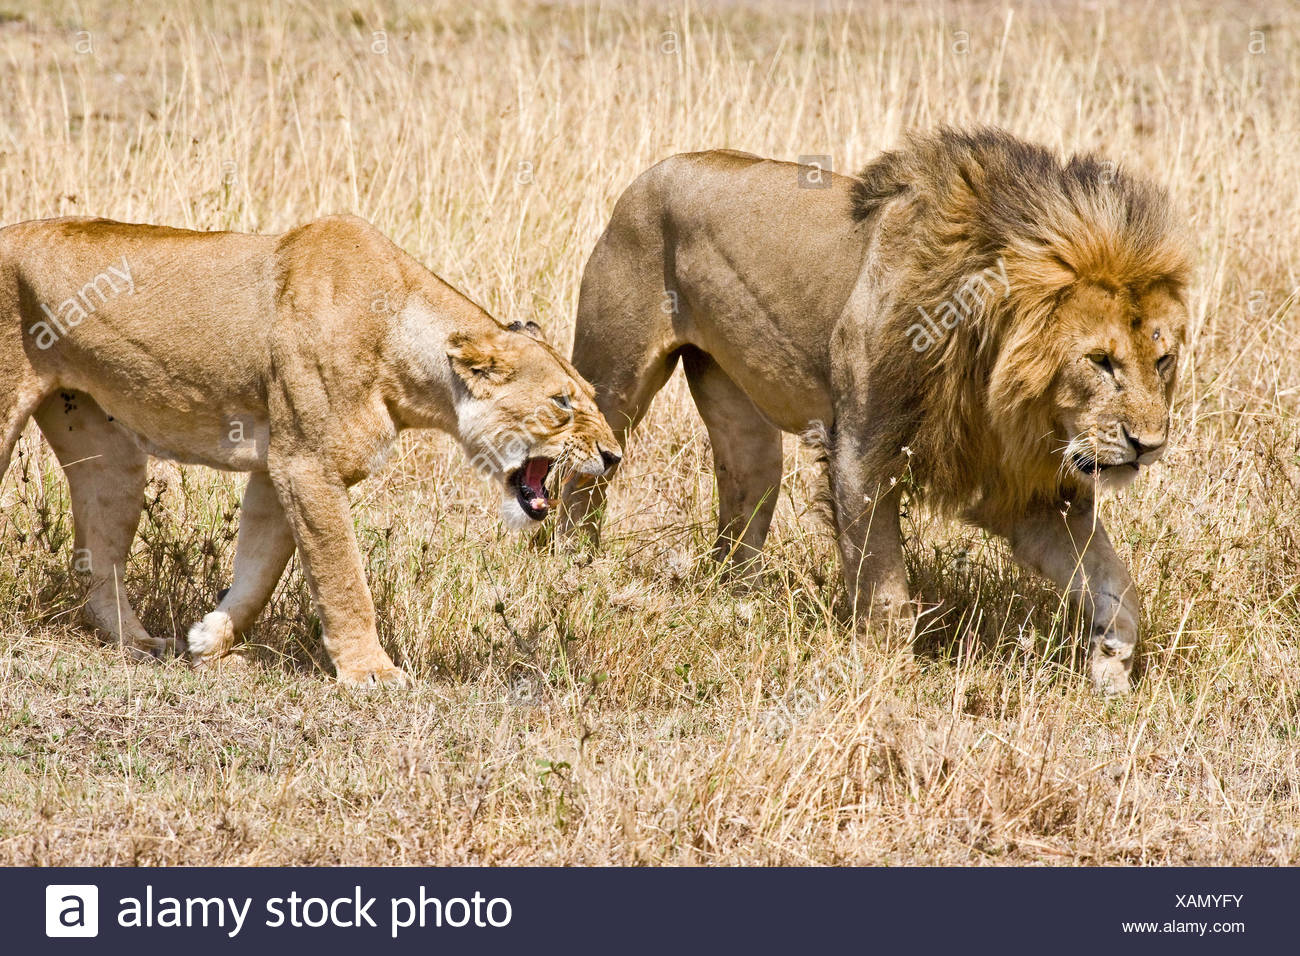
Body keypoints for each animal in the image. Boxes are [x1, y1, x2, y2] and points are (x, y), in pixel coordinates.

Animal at [0, 214, 621, 687]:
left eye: (589, 397)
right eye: (562, 402)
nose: (614, 457)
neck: (403, 350)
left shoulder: (279, 467)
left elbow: (258, 571)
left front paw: (208, 640)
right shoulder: (308, 465)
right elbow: (342, 575)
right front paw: (371, 673)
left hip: (112, 461)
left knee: (95, 562)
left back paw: (140, 644)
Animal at [558, 127, 1189, 695]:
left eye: (1162, 361)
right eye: (1101, 361)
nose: (1148, 446)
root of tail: (653, 172)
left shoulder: (1032, 496)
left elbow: (1116, 589)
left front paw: (1111, 673)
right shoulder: (862, 453)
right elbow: (886, 597)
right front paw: (888, 689)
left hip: (741, 420)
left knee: (742, 502)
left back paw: (735, 604)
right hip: (613, 385)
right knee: (579, 476)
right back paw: (572, 572)